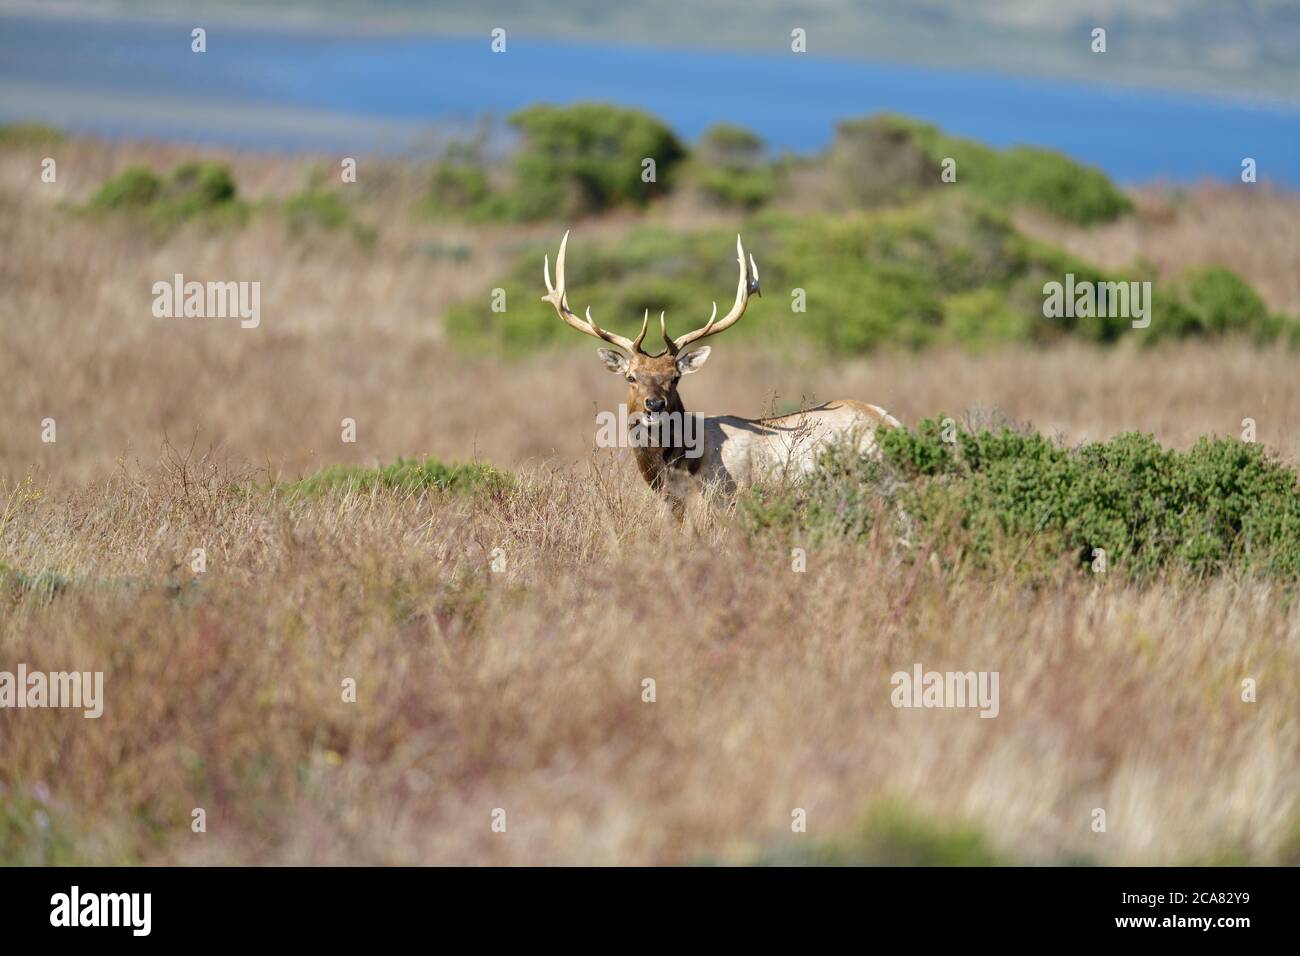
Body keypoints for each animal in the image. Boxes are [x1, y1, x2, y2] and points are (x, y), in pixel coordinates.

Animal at [542, 231, 901, 513]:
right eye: (631, 377)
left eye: (675, 377)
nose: (654, 405)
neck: (675, 466)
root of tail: (889, 421)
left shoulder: (723, 497)